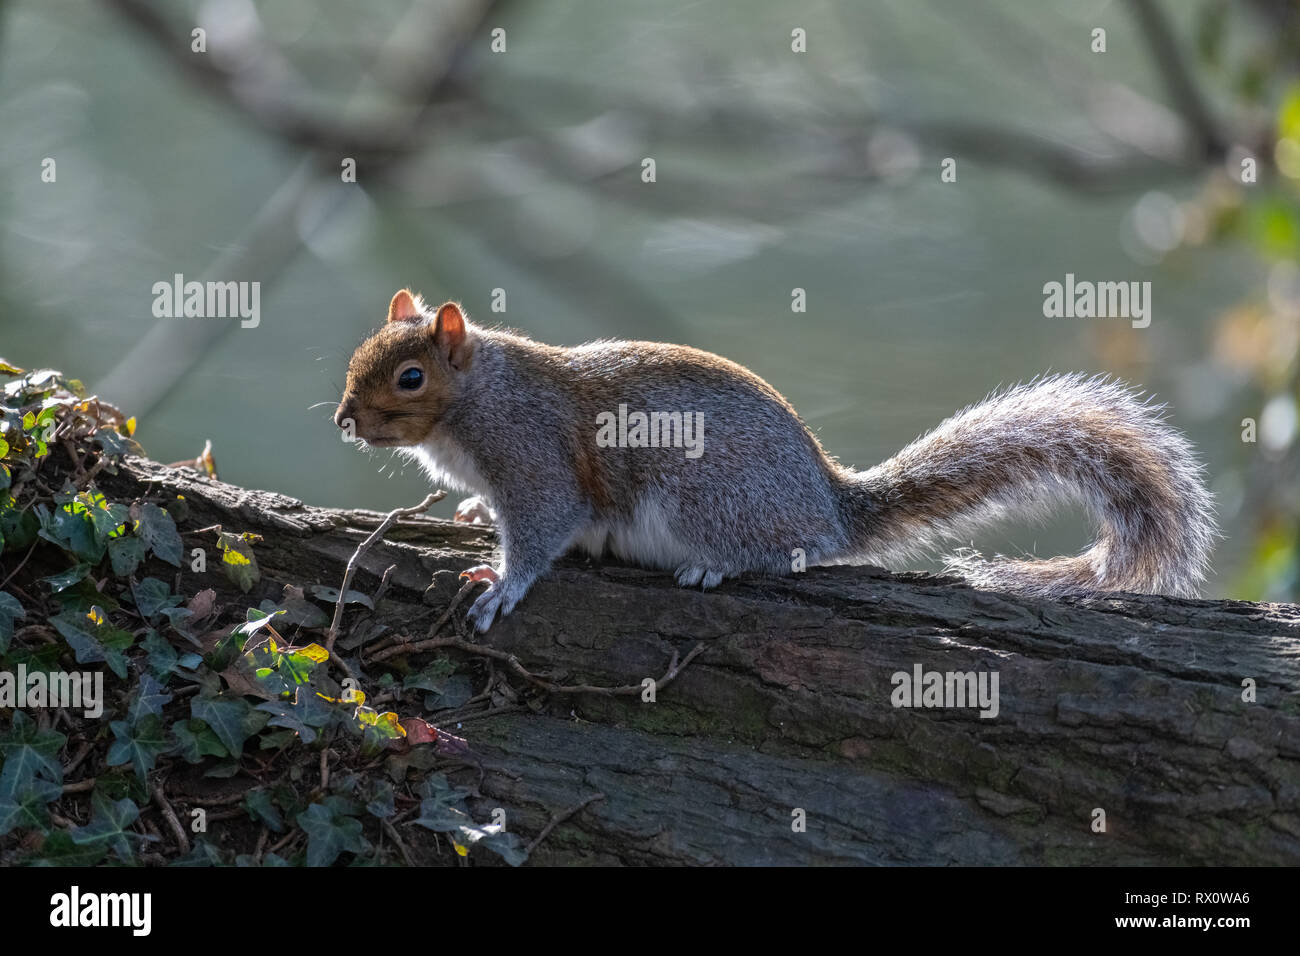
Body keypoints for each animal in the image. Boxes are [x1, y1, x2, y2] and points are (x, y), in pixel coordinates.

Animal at [336, 289, 1217, 632]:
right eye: (357, 354)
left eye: (410, 377)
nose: (345, 420)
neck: (472, 401)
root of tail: (829, 502)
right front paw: (472, 513)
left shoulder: (532, 456)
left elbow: (545, 526)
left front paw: (500, 585)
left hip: (705, 498)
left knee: (790, 551)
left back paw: (718, 566)